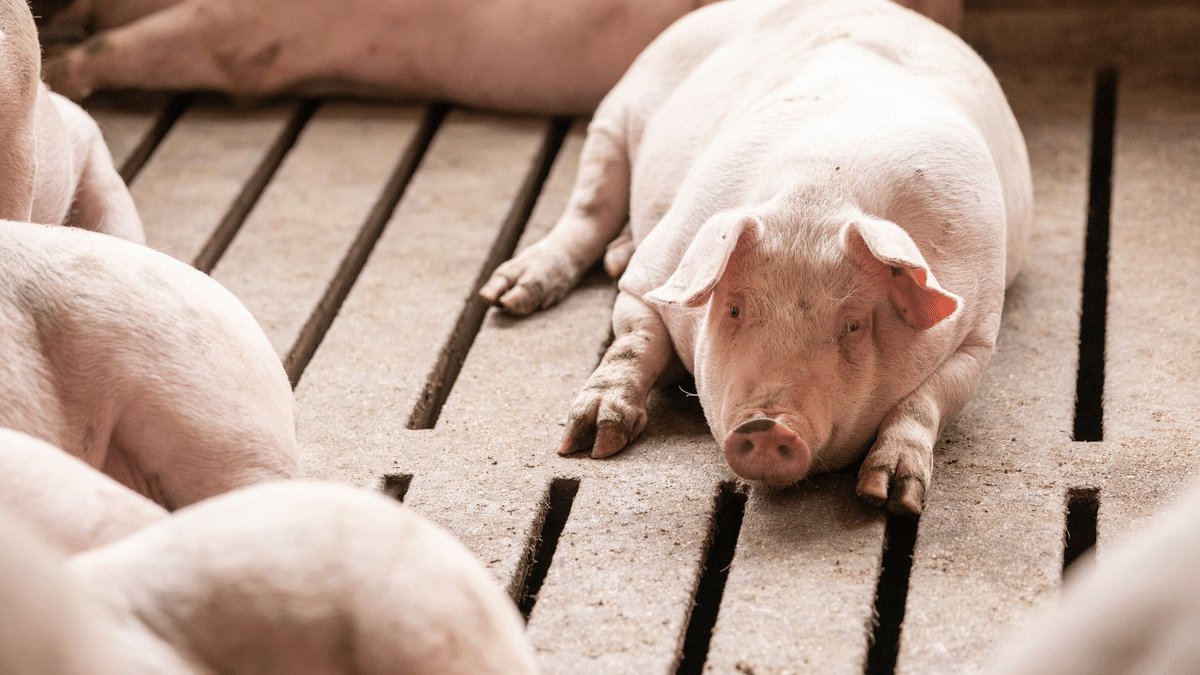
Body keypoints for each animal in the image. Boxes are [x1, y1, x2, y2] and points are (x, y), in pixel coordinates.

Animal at [480, 0, 1031, 516]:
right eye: (734, 309)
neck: (819, 196)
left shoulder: (978, 331)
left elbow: (923, 402)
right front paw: (589, 444)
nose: (767, 426)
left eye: (853, 325)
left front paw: (889, 498)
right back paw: (507, 295)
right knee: (591, 206)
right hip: (616, 112)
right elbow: (634, 339)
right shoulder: (653, 273)